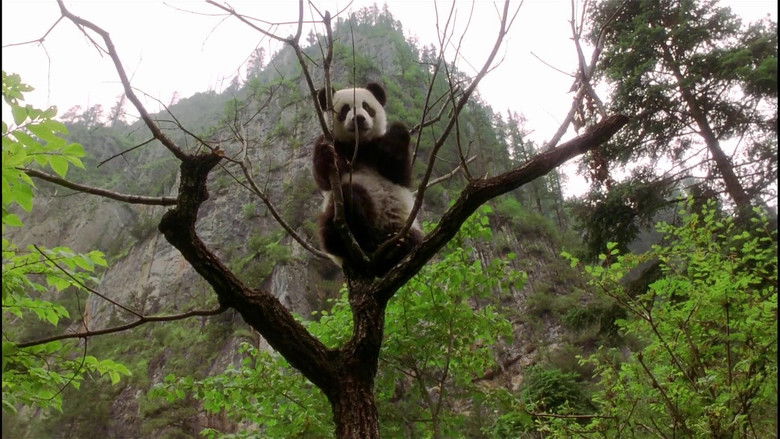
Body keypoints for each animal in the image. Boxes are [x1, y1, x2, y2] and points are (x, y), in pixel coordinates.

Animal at [312, 82, 423, 275]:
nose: (359, 118)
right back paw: (359, 239)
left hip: (401, 224)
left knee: (414, 238)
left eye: (367, 107)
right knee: (348, 200)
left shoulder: (376, 148)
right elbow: (323, 178)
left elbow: (399, 174)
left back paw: (396, 248)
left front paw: (397, 132)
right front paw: (326, 154)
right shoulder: (337, 145)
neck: (360, 145)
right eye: (345, 109)